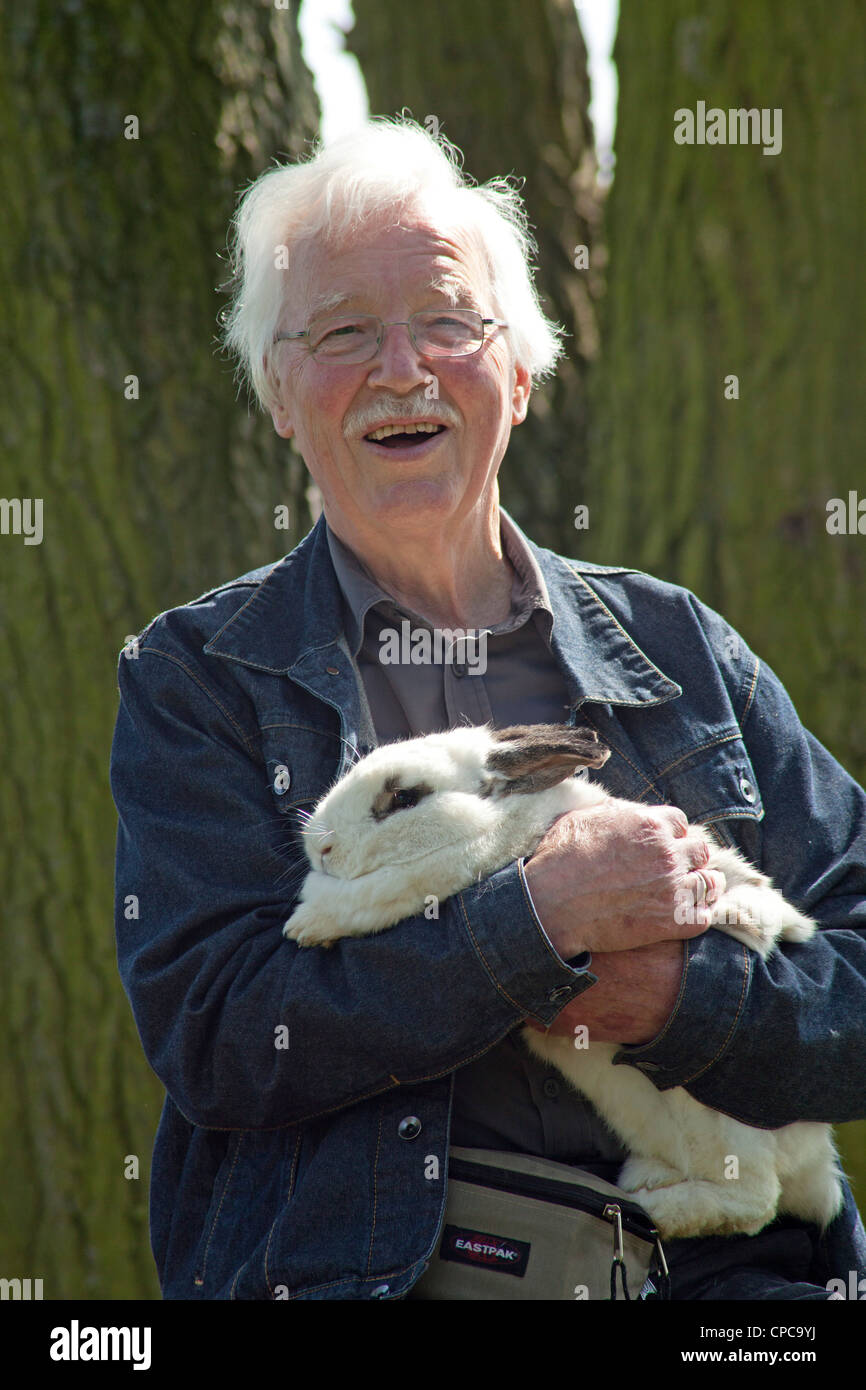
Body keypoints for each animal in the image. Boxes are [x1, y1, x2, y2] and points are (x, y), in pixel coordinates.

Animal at [283, 722, 843, 1240]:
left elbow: (378, 892)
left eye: (404, 797)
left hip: (721, 1120)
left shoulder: (443, 870)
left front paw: (306, 922)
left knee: (755, 1200)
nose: (321, 848)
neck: (511, 820)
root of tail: (817, 1171)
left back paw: (649, 1208)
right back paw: (644, 1180)